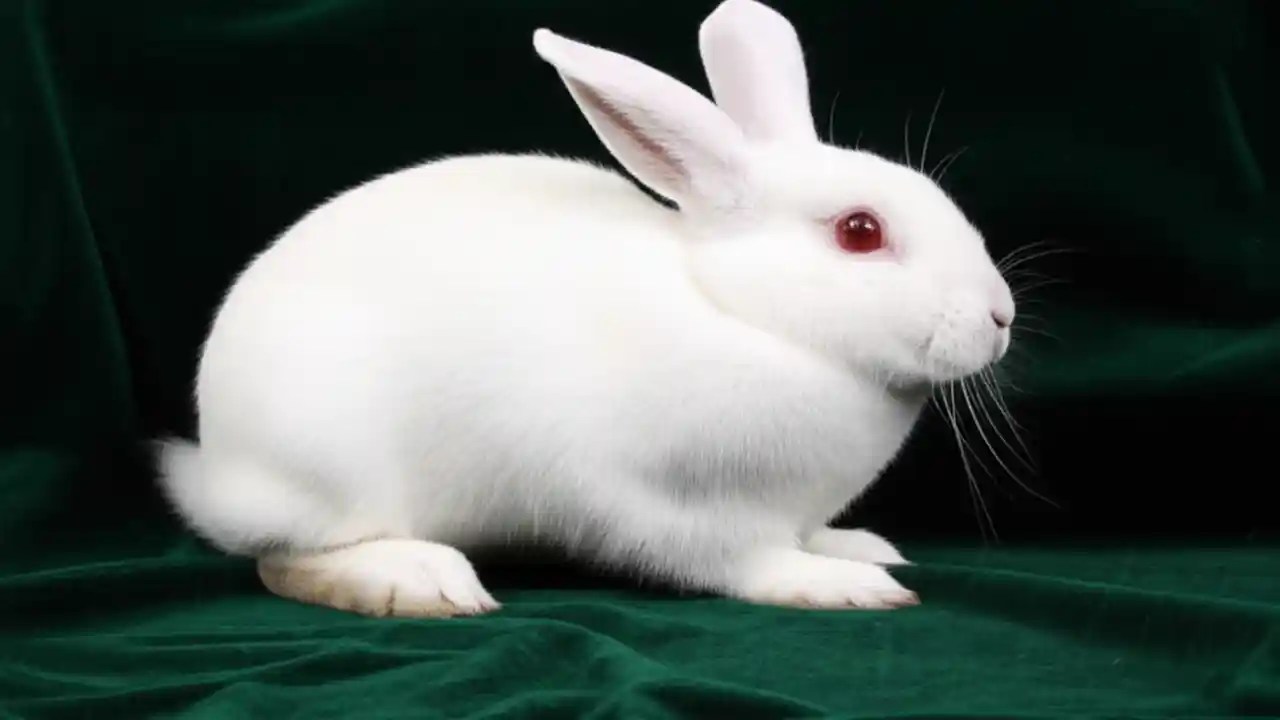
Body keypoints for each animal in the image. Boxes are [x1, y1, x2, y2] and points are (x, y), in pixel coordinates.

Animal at [156, 0, 1015, 618]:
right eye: (860, 232)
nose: (1000, 316)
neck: (746, 312)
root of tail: (222, 463)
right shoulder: (667, 504)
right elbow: (743, 562)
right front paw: (842, 588)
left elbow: (808, 535)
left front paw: (856, 549)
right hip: (333, 469)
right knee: (285, 559)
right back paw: (423, 582)